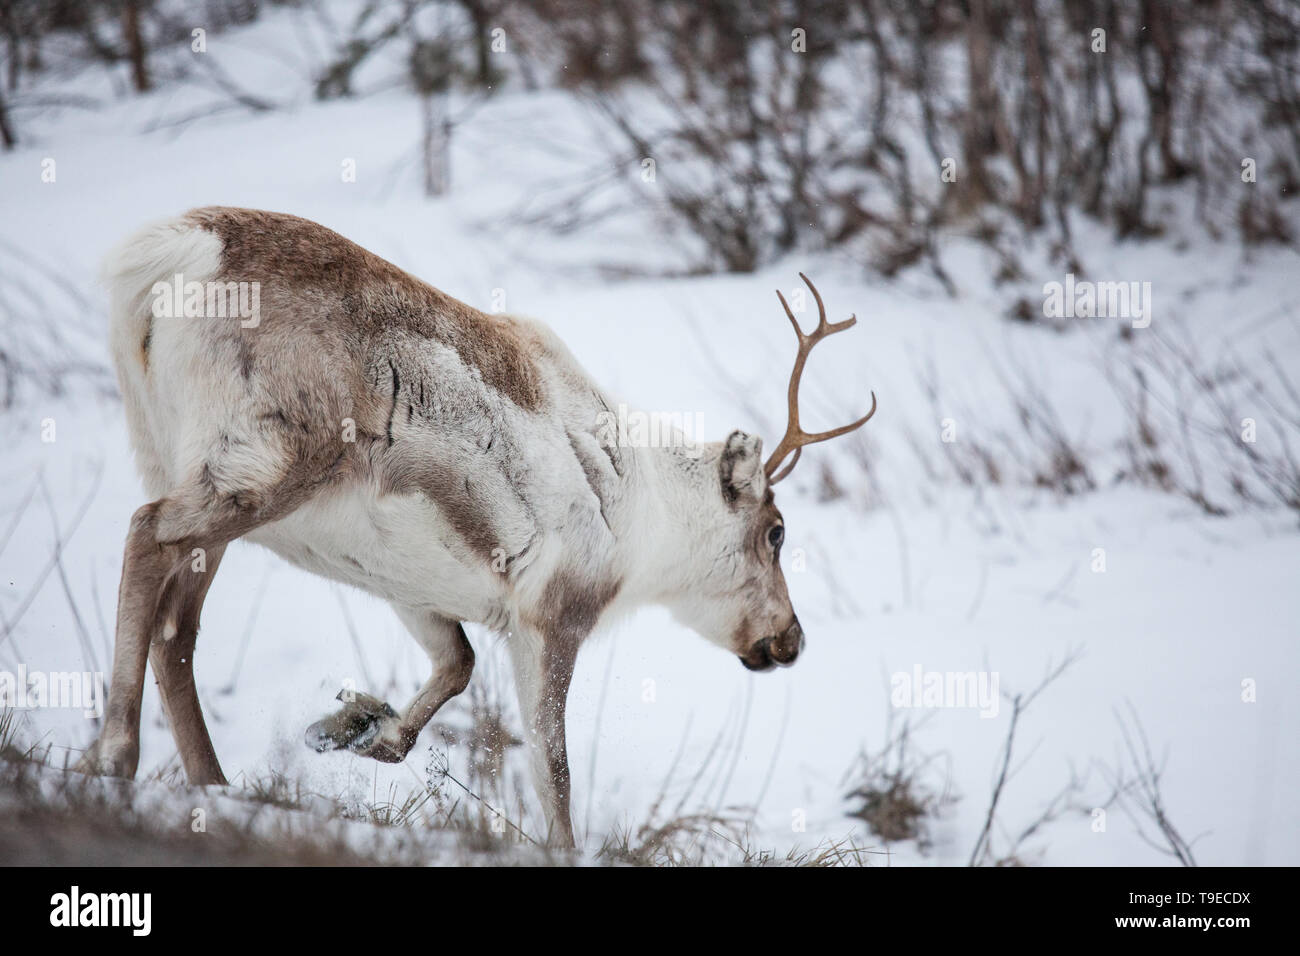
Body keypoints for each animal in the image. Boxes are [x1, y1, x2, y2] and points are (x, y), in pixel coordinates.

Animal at [75, 207, 876, 847]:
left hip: (173, 459)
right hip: (260, 461)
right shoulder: (551, 615)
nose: (792, 639)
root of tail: (174, 251)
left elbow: (456, 664)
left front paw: (359, 731)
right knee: (147, 535)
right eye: (776, 531)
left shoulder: (412, 587)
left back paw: (214, 785)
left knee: (176, 628)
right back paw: (116, 756)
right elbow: (554, 770)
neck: (645, 520)